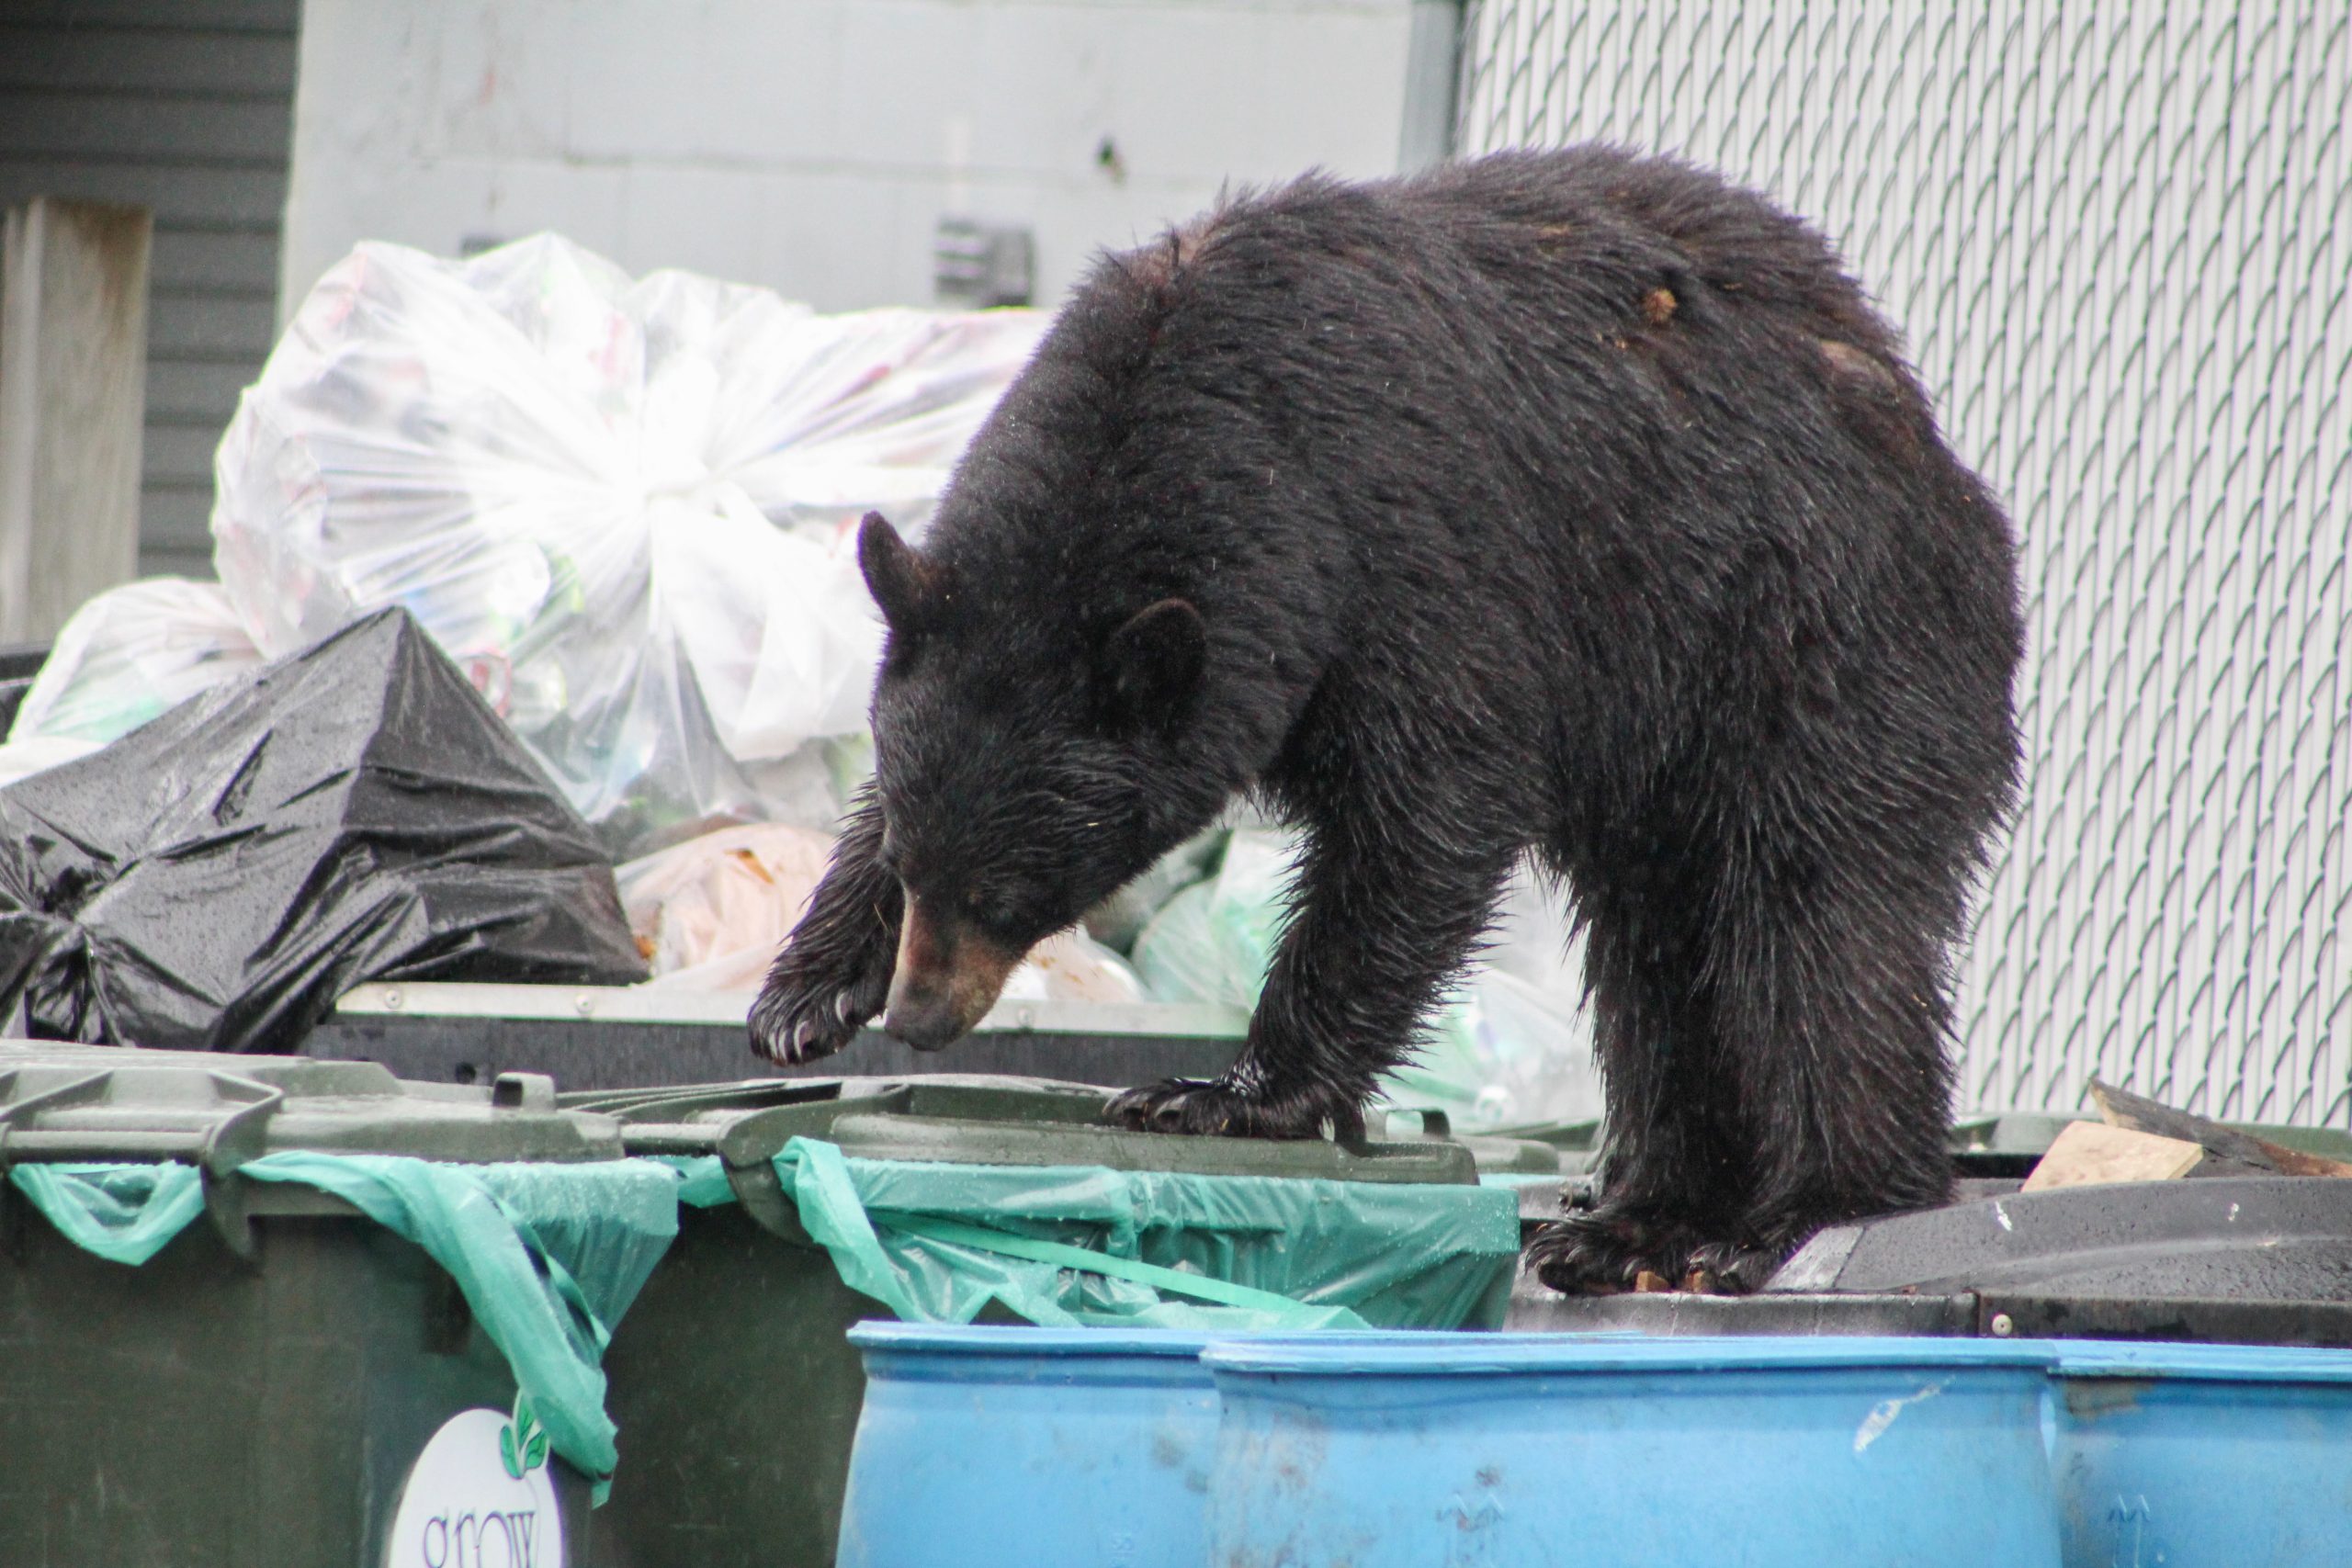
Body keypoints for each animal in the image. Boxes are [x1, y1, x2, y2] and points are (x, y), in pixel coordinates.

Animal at [750, 145, 2024, 1294]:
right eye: (915, 866)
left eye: (1017, 894)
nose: (917, 1017)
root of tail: (1936, 451)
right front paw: (803, 994)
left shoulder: (1414, 549)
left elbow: (1426, 813)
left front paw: (1219, 1094)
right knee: (1657, 967)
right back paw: (1634, 1222)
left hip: (1810, 647)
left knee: (1813, 923)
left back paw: (1794, 1218)